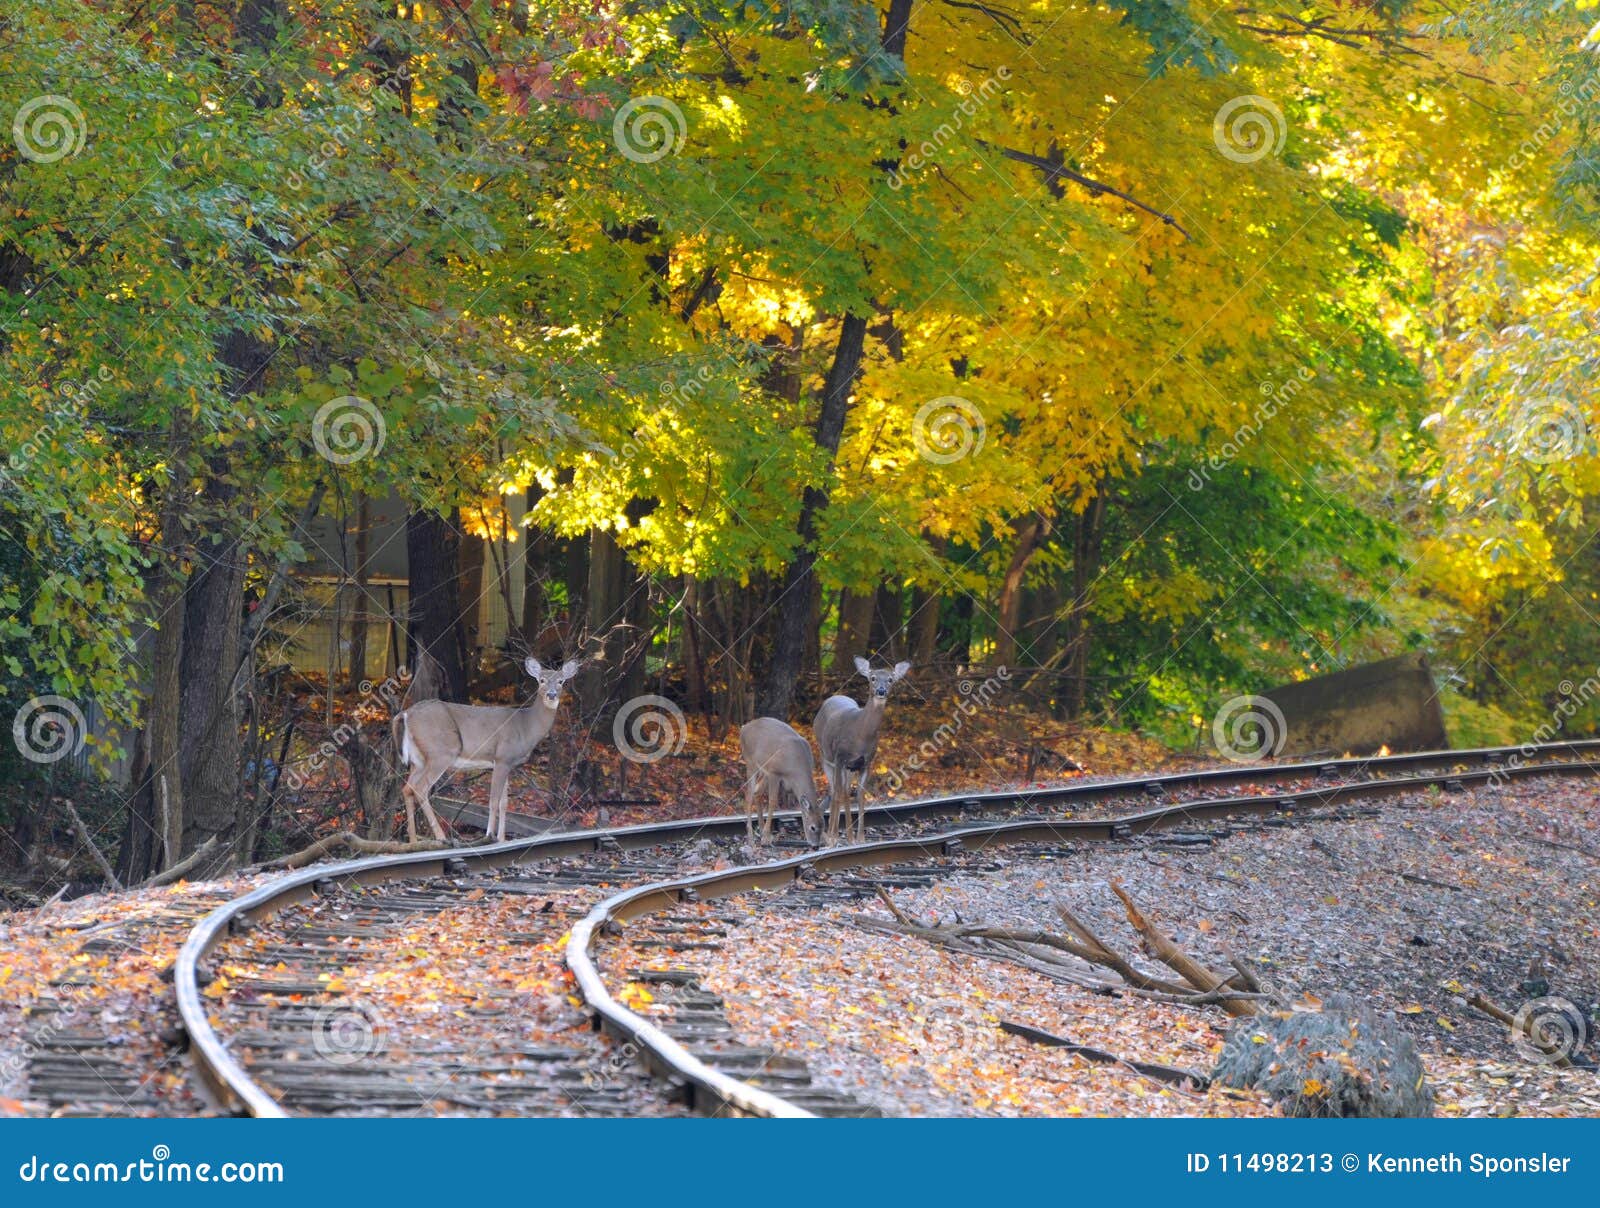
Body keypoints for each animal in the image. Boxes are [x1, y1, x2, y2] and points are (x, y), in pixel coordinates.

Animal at [391, 657, 579, 843]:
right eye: (542, 680)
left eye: (561, 681)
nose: (551, 694)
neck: (526, 726)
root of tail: (405, 714)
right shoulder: (502, 757)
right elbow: (493, 801)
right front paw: (489, 835)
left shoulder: (508, 763)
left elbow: (504, 803)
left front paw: (501, 838)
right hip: (441, 752)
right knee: (421, 788)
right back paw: (441, 838)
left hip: (418, 759)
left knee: (407, 788)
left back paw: (413, 841)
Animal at [738, 717, 824, 847]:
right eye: (812, 827)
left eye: (823, 825)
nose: (816, 846)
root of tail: (743, 728)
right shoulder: (775, 773)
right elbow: (773, 802)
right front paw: (766, 838)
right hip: (751, 763)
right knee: (748, 797)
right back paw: (752, 840)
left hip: (764, 770)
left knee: (757, 792)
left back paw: (761, 831)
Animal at [813, 656, 910, 844]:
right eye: (872, 678)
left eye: (890, 679)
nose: (881, 691)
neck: (860, 734)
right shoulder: (841, 758)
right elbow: (844, 794)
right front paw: (848, 838)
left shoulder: (866, 762)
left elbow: (860, 796)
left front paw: (861, 839)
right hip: (825, 755)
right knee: (836, 791)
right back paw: (831, 836)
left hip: (849, 768)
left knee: (838, 790)